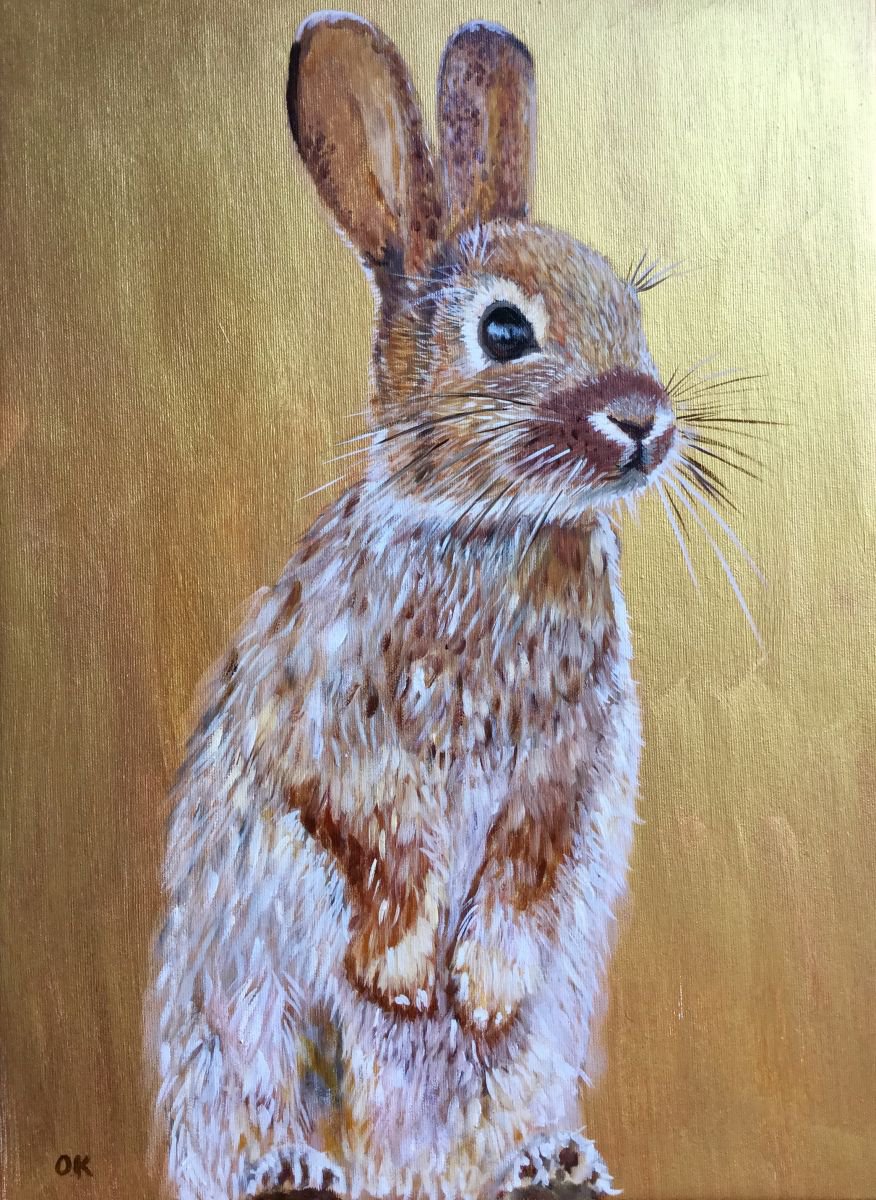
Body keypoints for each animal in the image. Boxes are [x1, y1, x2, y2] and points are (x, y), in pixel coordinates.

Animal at [147, 12, 682, 1200]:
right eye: (504, 333)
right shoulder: (323, 730)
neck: (491, 529)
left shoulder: (562, 767)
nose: (644, 420)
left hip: (528, 1063)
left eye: (629, 307)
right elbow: (380, 846)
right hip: (245, 1026)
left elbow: (526, 869)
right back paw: (295, 1172)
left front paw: (476, 987)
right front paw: (402, 975)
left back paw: (549, 1165)